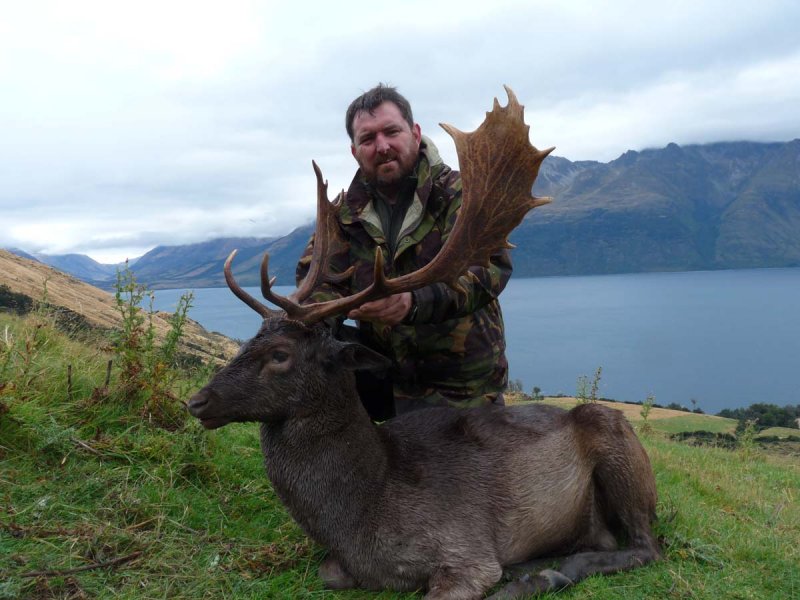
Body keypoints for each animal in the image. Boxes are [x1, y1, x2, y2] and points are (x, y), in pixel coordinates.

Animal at [187, 87, 660, 599]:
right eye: (248, 340)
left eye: (280, 355)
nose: (197, 400)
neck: (360, 513)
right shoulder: (346, 564)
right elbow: (329, 571)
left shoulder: (464, 550)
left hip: (618, 445)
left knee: (644, 546)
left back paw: (546, 573)